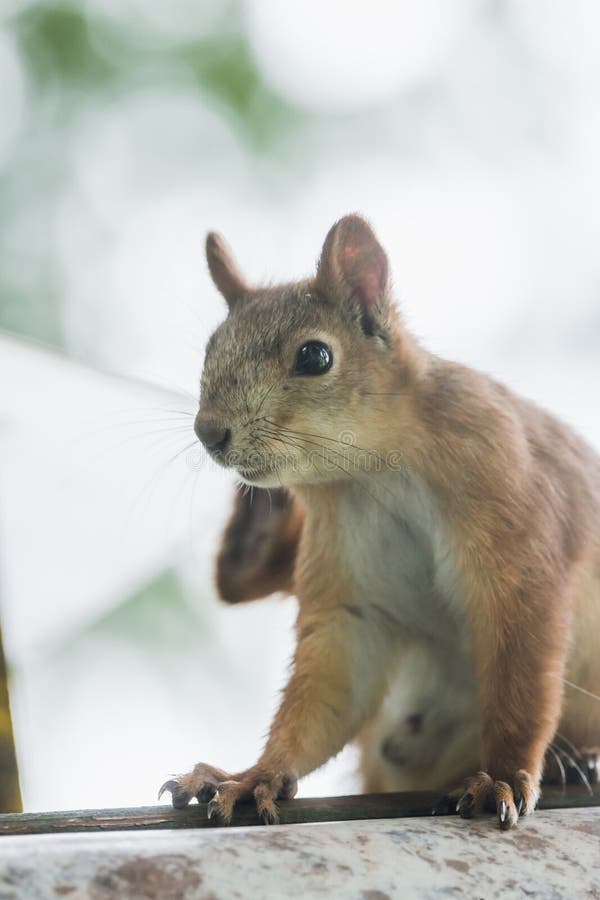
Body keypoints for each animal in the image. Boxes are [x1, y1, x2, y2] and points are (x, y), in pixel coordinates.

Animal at [159, 214, 600, 829]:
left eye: (315, 357)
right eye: (211, 347)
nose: (209, 432)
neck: (375, 471)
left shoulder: (512, 515)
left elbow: (522, 670)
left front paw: (502, 777)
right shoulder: (351, 589)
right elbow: (332, 687)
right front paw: (254, 777)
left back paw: (575, 758)